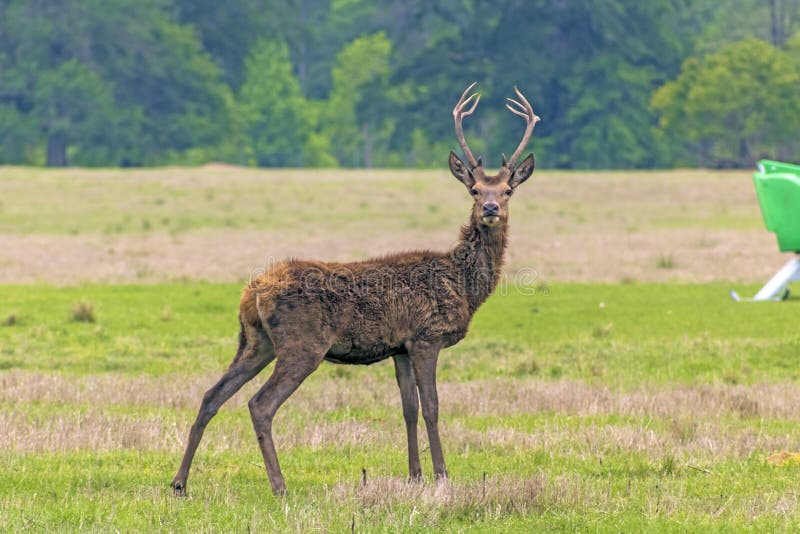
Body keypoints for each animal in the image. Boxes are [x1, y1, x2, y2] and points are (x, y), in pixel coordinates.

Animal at [171, 83, 540, 496]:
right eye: (474, 190)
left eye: (508, 190)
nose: (491, 208)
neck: (464, 286)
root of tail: (253, 292)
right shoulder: (427, 336)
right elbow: (432, 406)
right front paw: (442, 476)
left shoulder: (401, 347)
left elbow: (408, 408)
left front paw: (414, 475)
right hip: (303, 344)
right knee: (260, 404)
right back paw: (279, 485)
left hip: (254, 340)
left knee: (211, 395)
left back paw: (180, 482)